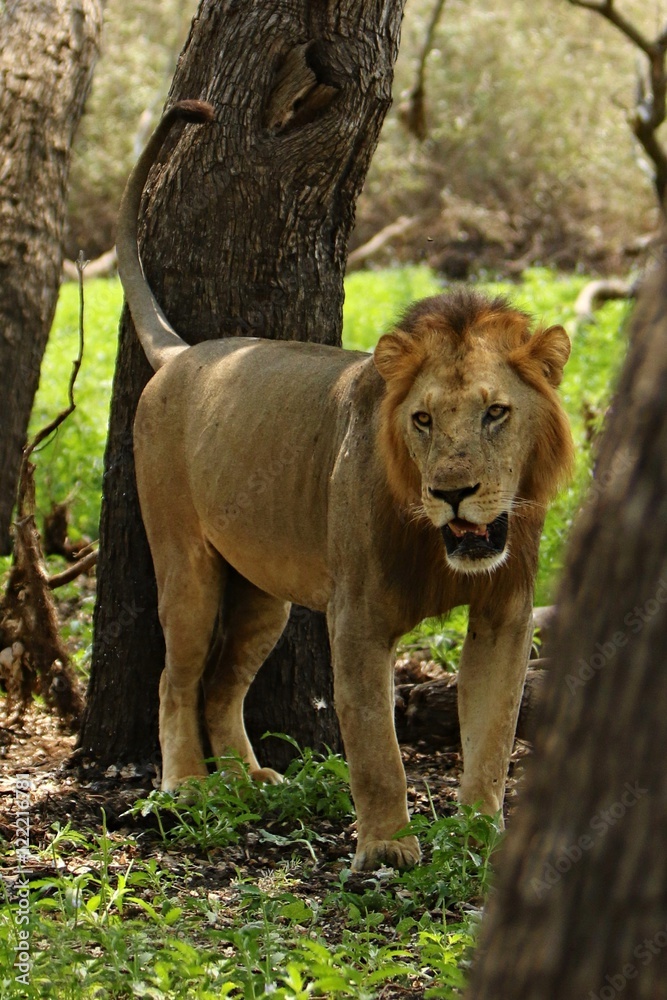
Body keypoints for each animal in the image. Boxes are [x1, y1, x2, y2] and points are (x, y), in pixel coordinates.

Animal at [116, 100, 574, 871]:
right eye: (422, 419)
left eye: (495, 412)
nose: (453, 492)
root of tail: (184, 354)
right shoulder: (357, 615)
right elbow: (373, 745)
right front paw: (388, 848)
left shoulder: (504, 612)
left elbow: (491, 735)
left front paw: (479, 837)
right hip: (185, 561)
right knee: (175, 677)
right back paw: (188, 786)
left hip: (262, 593)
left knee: (221, 684)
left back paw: (249, 777)